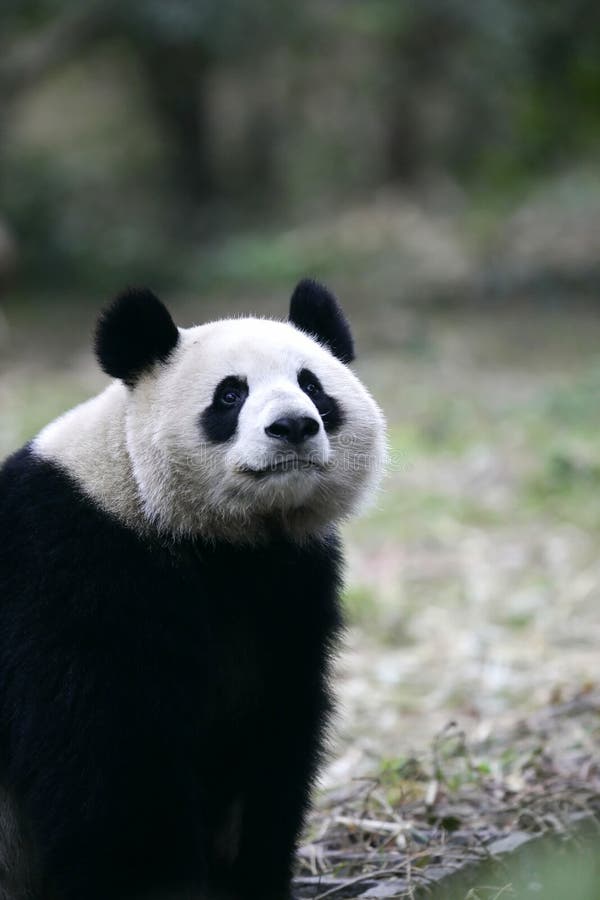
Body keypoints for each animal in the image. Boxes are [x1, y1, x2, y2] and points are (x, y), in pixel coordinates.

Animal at [0, 279, 385, 900]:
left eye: (311, 385)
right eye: (230, 395)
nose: (293, 427)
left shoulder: (287, 588)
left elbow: (271, 729)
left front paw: (250, 878)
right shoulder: (68, 572)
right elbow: (104, 748)